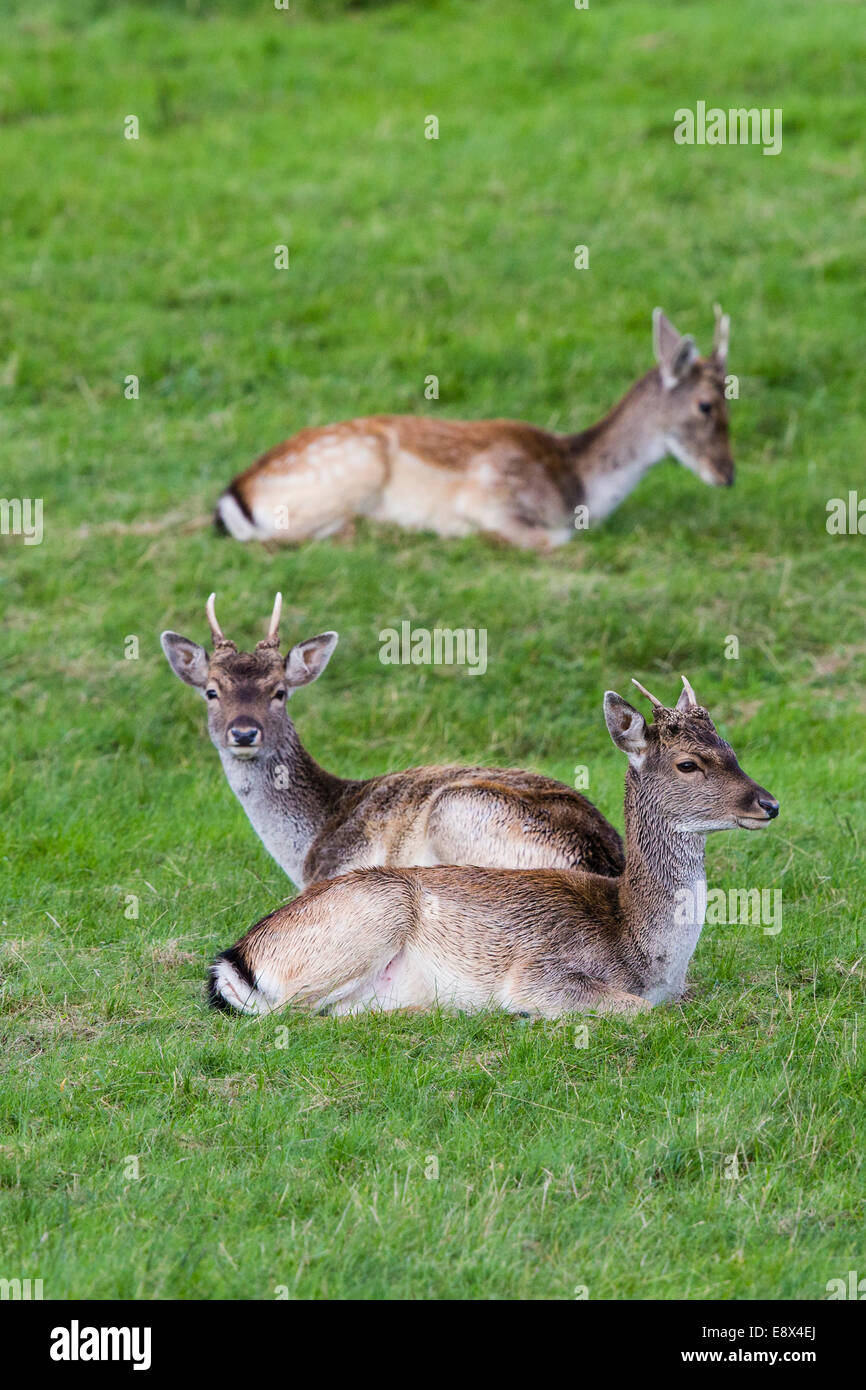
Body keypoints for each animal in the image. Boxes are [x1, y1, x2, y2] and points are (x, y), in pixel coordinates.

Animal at [160, 593, 625, 891]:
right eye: (211, 691)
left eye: (279, 692)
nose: (243, 732)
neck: (308, 843)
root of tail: (601, 860)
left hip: (456, 810)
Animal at [208, 677, 779, 1019]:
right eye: (688, 763)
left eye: (730, 747)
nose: (768, 803)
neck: (645, 950)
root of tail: (235, 960)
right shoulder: (542, 971)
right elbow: (640, 1009)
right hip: (377, 911)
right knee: (292, 1014)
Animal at [214, 306, 732, 551]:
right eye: (706, 405)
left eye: (733, 398)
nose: (728, 474)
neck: (580, 488)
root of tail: (235, 493)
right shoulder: (491, 496)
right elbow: (553, 538)